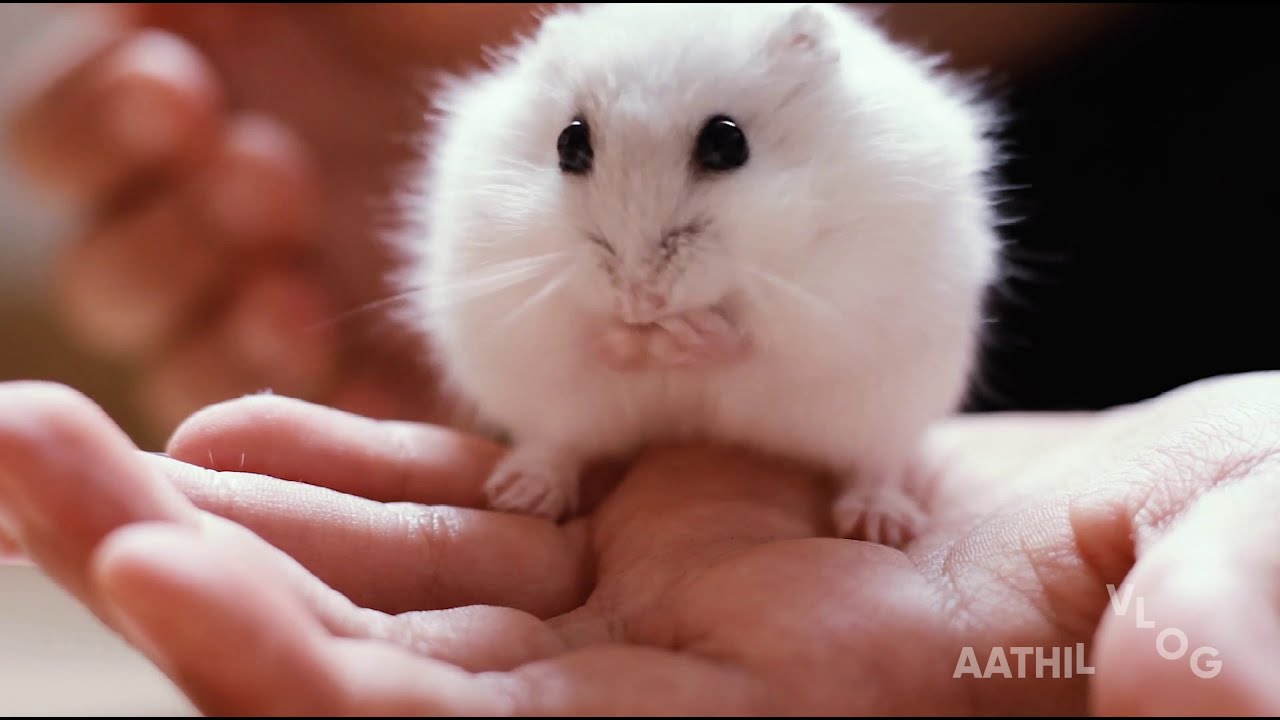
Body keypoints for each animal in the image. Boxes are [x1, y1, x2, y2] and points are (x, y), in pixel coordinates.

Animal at [400, 2, 1002, 546]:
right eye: (568, 142)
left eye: (727, 142)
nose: (639, 299)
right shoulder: (513, 290)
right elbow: (581, 332)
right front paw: (634, 340)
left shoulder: (838, 299)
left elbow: (756, 339)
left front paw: (681, 337)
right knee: (556, 441)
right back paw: (521, 494)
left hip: (888, 404)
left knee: (878, 460)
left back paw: (879, 523)